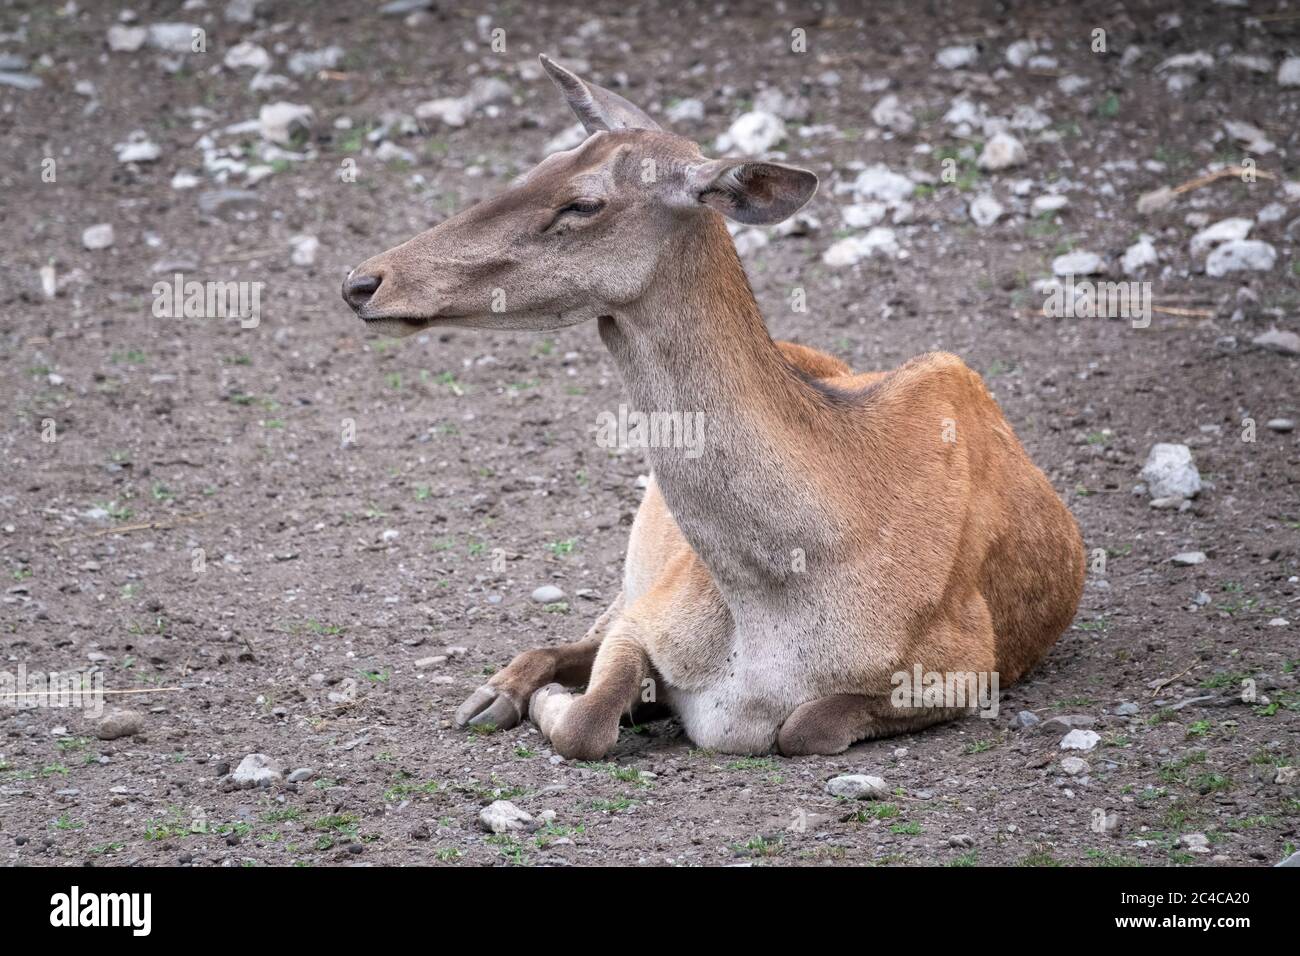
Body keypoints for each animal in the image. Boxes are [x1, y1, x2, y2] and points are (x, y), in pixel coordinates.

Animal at [341, 56, 1086, 760]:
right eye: (541, 163)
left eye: (583, 204)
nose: (362, 281)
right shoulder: (652, 609)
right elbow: (588, 716)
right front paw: (579, 700)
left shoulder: (968, 664)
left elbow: (806, 725)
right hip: (630, 575)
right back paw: (492, 696)